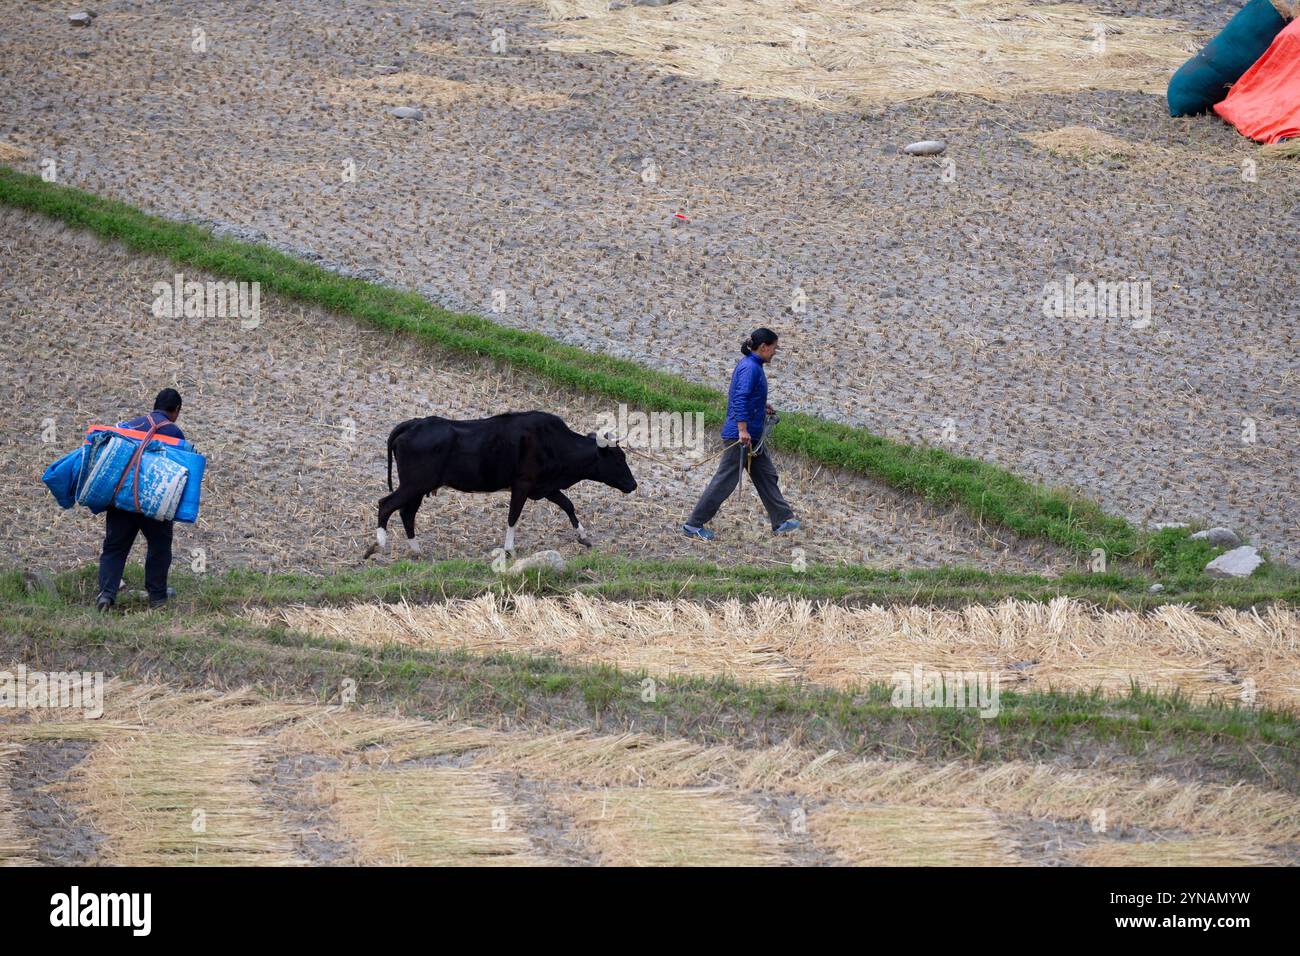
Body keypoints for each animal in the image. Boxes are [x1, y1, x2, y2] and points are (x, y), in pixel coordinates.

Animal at [365, 411, 638, 559]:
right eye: (619, 458)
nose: (633, 484)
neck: (554, 442)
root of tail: (412, 424)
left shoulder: (544, 487)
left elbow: (568, 505)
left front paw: (584, 537)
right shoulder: (523, 485)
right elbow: (513, 517)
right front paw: (508, 549)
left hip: (418, 487)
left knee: (406, 513)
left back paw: (416, 550)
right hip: (415, 484)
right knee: (386, 504)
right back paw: (377, 545)